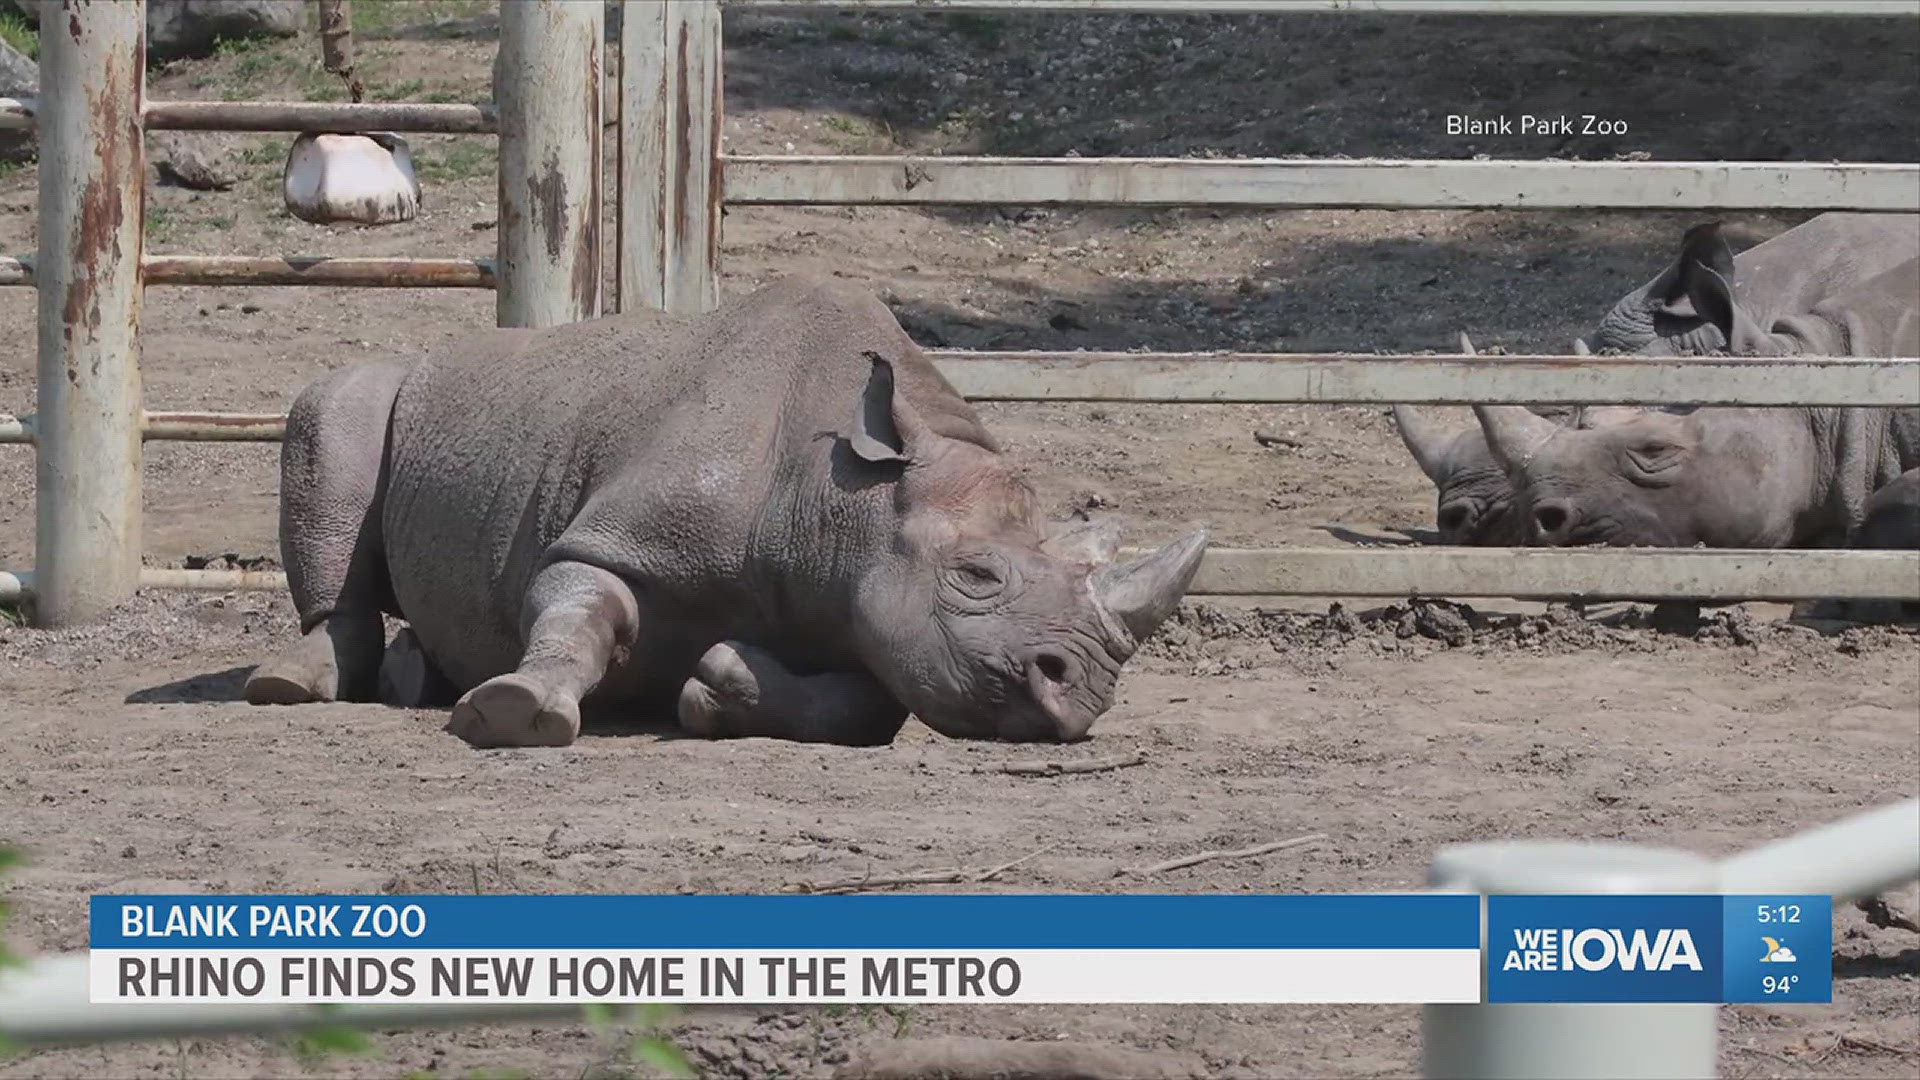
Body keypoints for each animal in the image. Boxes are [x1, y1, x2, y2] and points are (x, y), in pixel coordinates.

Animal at [243, 276, 1210, 748]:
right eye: (975, 575)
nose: (1083, 693)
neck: (843, 497)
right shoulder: (610, 539)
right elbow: (576, 607)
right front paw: (519, 713)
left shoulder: (859, 609)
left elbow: (870, 708)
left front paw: (719, 688)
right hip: (382, 386)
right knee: (331, 416)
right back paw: (291, 688)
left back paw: (414, 679)